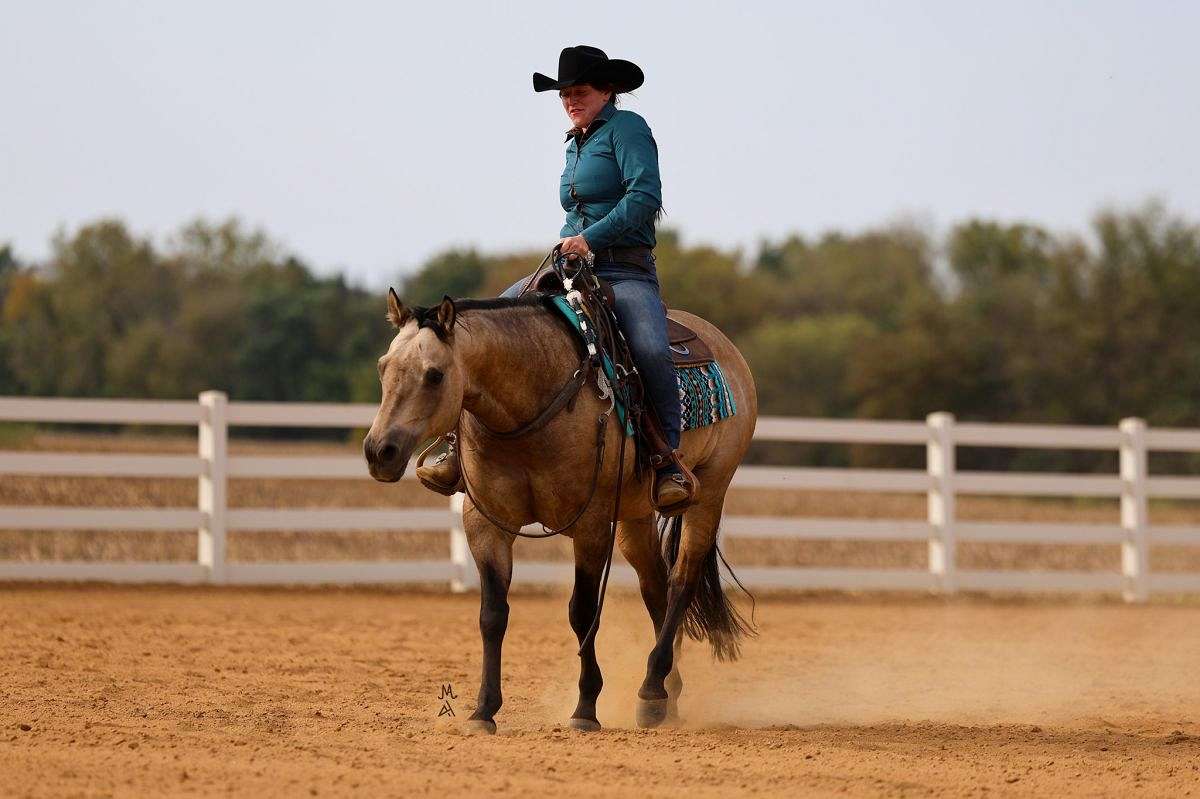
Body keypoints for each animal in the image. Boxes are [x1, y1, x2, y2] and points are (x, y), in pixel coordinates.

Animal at [363, 289, 758, 733]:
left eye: (434, 375)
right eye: (383, 367)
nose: (379, 452)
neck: (531, 403)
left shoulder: (591, 526)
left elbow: (582, 612)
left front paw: (585, 707)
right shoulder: (486, 524)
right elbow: (492, 614)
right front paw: (484, 710)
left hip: (709, 494)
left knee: (681, 583)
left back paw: (651, 688)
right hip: (634, 516)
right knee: (654, 587)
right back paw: (665, 696)